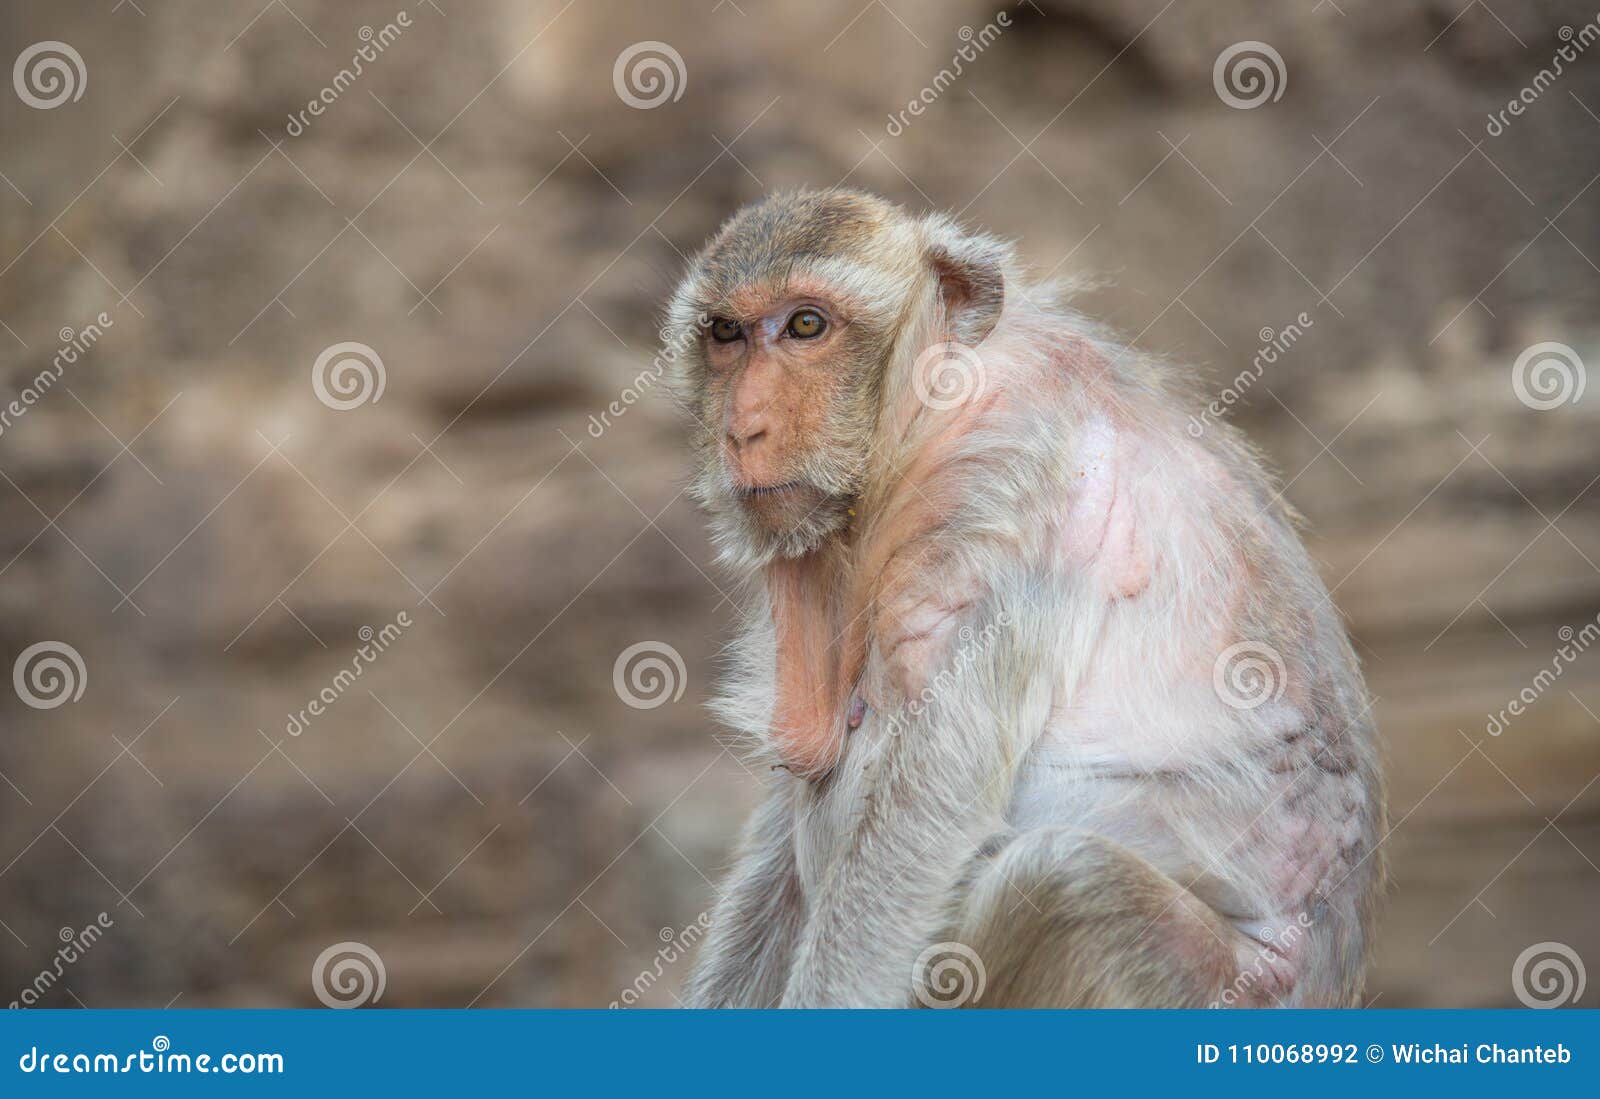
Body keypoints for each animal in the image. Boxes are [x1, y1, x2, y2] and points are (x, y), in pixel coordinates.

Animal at [663, 189, 1384, 1008]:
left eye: (807, 325)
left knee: (1066, 876)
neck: (929, 404)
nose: (743, 429)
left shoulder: (1000, 488)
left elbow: (929, 791)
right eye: (726, 334)